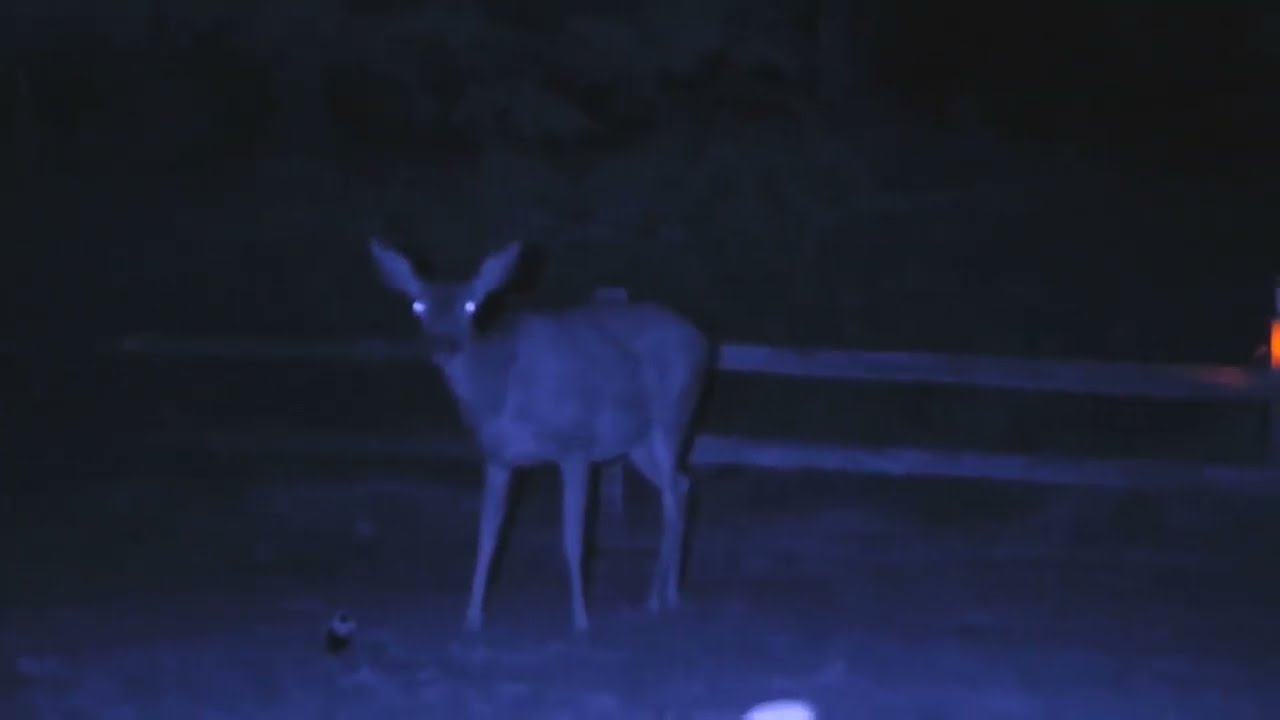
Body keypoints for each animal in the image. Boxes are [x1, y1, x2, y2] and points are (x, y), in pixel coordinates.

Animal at [369, 238, 711, 632]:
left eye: (471, 305)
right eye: (418, 304)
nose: (443, 345)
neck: (501, 388)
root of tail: (701, 341)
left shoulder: (575, 445)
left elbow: (574, 539)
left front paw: (580, 619)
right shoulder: (497, 458)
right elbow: (487, 536)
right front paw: (472, 616)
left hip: (672, 418)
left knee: (671, 498)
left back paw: (653, 598)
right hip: (636, 443)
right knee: (683, 485)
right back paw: (671, 594)